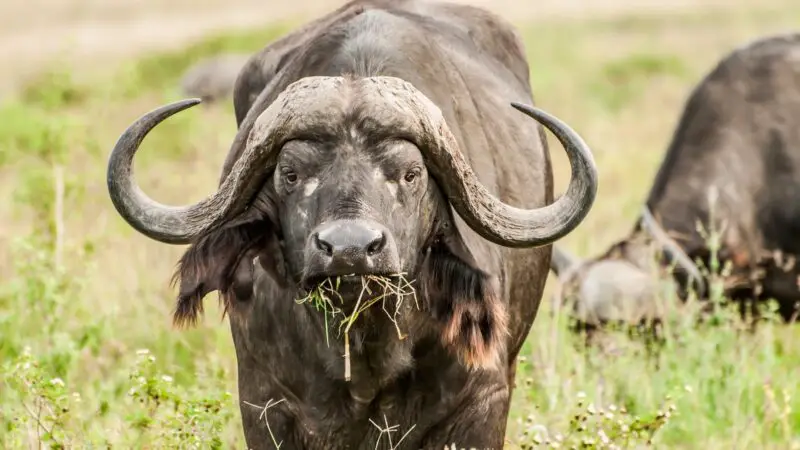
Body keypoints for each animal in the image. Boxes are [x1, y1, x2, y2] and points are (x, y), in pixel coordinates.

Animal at [106, 0, 598, 448]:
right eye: (291, 173)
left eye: (410, 173)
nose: (350, 250)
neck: (365, 348)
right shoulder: (264, 401)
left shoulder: (483, 400)